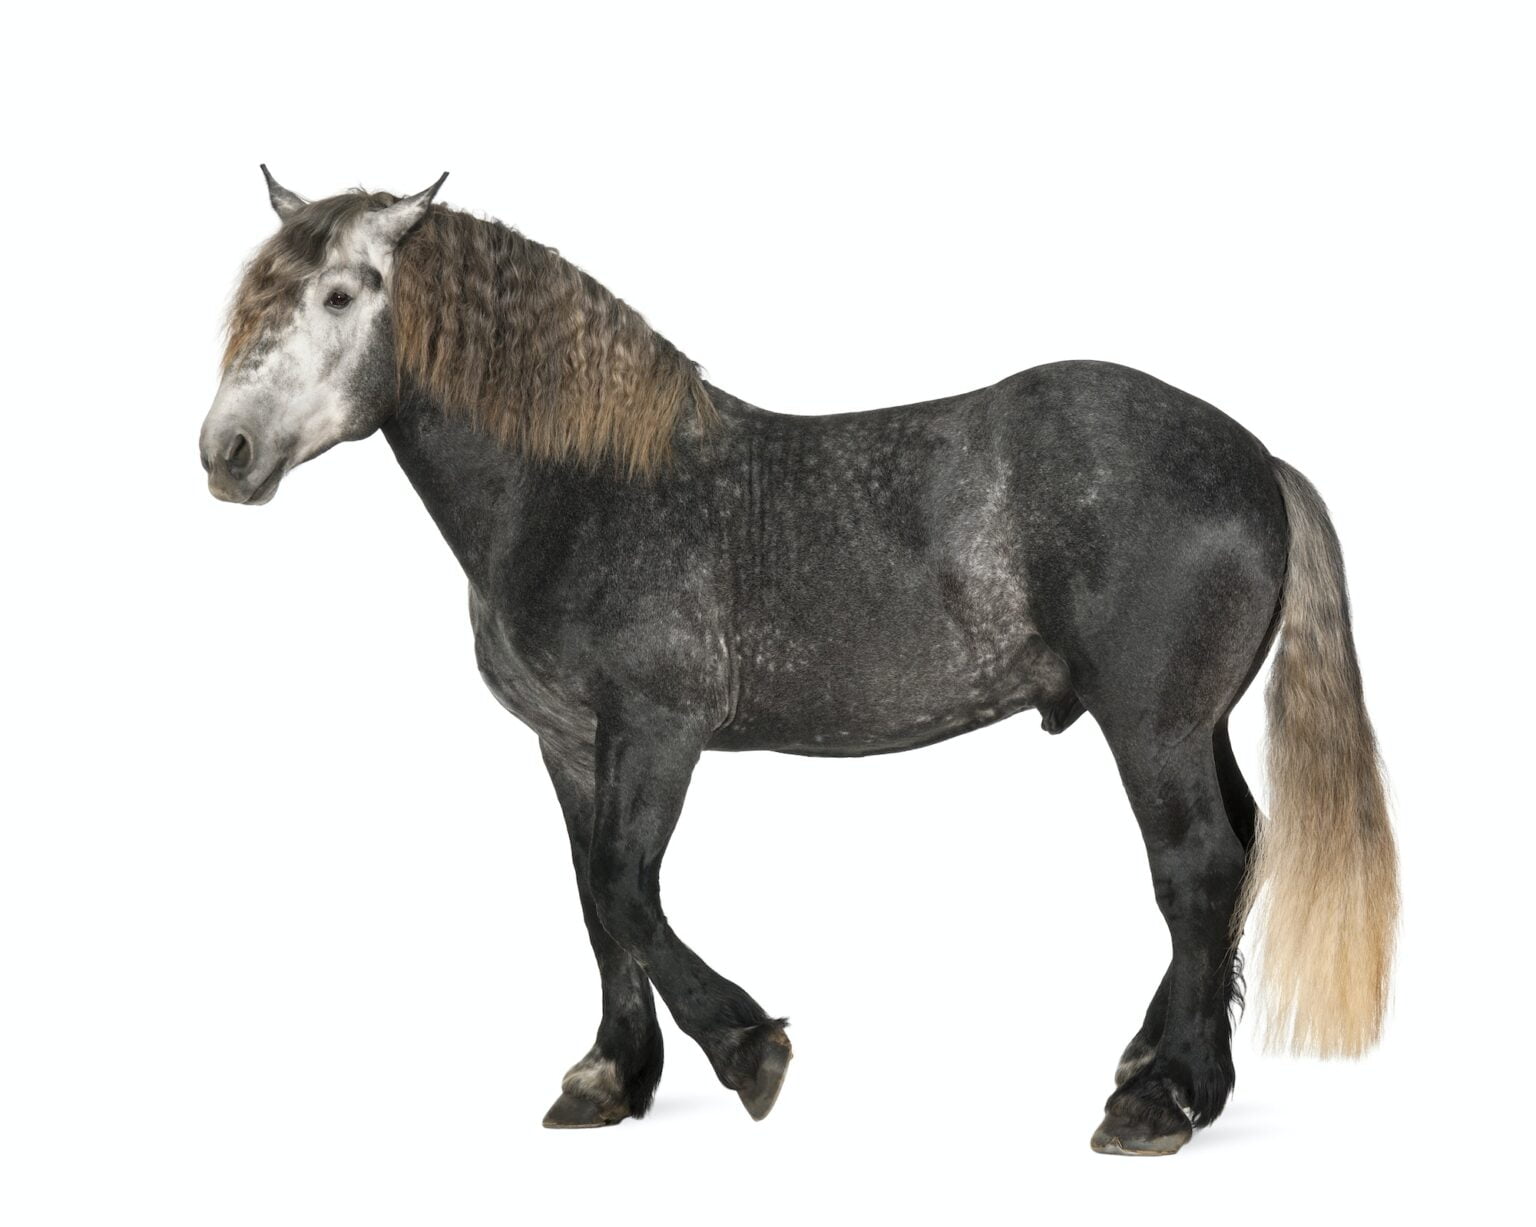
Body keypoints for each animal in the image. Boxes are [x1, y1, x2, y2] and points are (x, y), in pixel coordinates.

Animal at [199, 168, 1398, 1155]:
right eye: (257, 296)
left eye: (341, 295)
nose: (226, 453)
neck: (585, 489)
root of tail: (1254, 459)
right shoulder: (569, 744)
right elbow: (591, 898)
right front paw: (611, 1079)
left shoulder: (659, 731)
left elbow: (626, 886)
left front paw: (748, 1053)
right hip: (1195, 724)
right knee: (1240, 847)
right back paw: (1166, 1064)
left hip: (1152, 726)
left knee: (1195, 867)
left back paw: (1161, 1100)